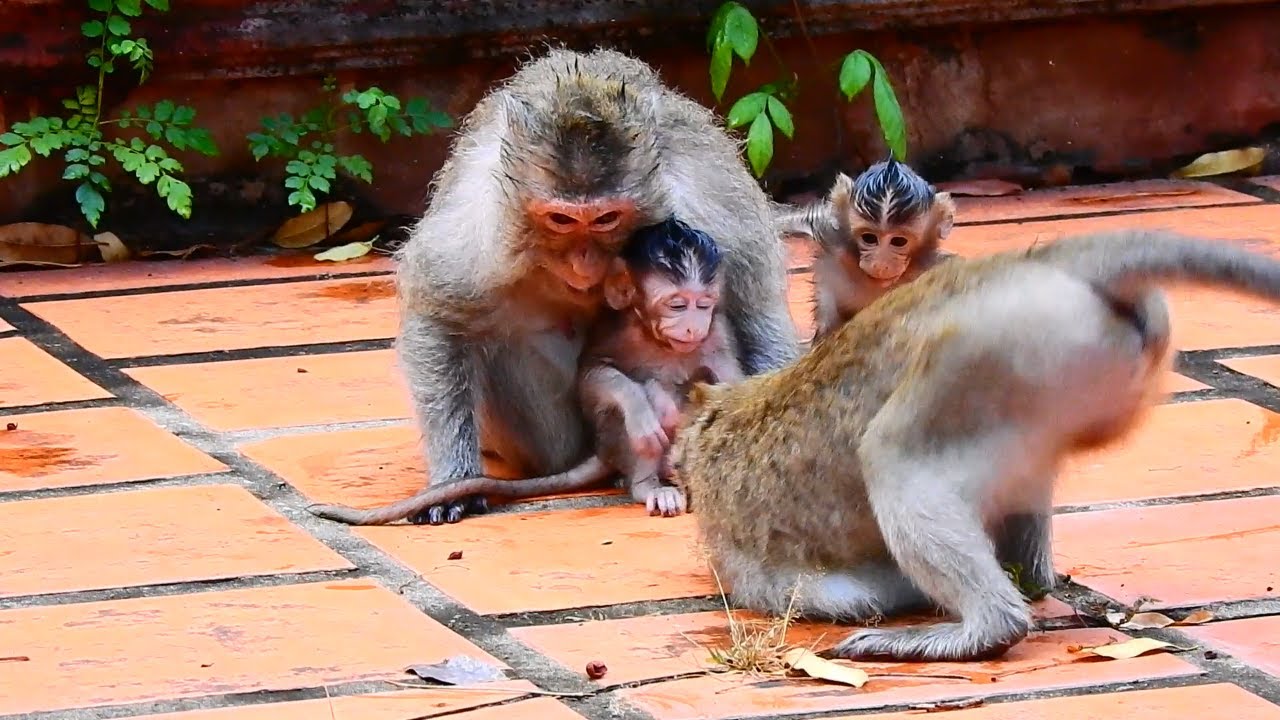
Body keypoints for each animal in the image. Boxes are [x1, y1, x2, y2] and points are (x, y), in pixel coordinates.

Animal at [309, 217, 744, 525]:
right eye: (676, 304)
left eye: (704, 304)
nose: (692, 327)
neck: (659, 341)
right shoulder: (618, 328)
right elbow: (595, 376)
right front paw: (639, 406)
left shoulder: (716, 335)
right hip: (612, 439)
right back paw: (648, 483)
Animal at [391, 47, 799, 527]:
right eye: (561, 220)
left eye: (605, 219)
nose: (584, 262)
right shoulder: (480, 219)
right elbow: (439, 316)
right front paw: (452, 479)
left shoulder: (713, 205)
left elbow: (757, 312)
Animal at [666, 228, 1280, 663]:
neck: (718, 422)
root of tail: (1041, 264)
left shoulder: (737, 560)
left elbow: (844, 596)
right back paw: (1029, 581)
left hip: (985, 354)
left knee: (894, 458)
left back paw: (984, 627)